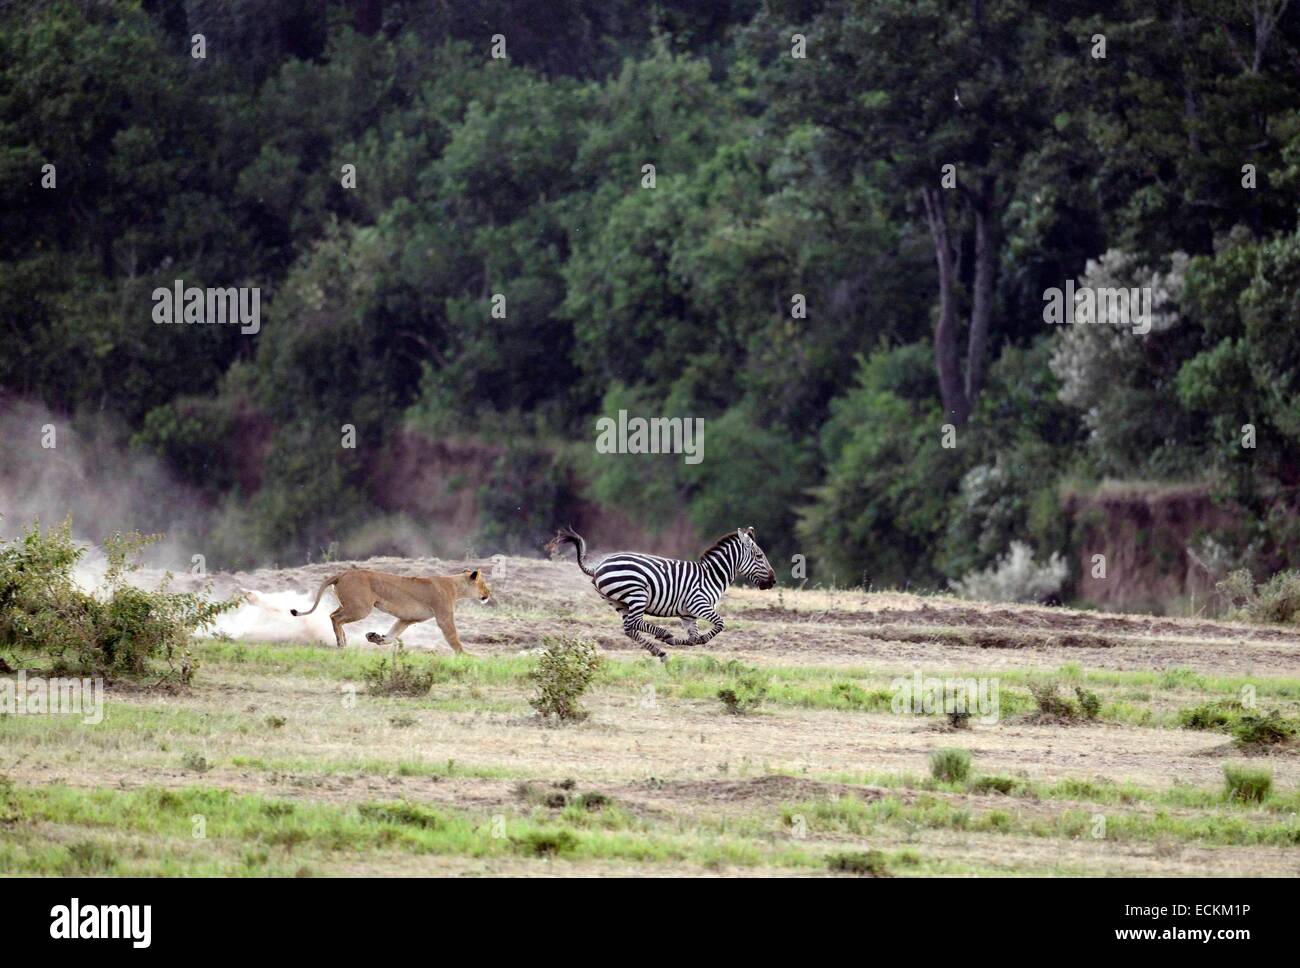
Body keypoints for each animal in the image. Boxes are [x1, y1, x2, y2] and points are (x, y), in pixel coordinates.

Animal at [290, 568, 492, 652]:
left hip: (349, 604)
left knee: (333, 614)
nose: (489, 594)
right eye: (484, 584)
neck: (455, 586)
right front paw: (465, 656)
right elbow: (453, 638)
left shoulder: (407, 619)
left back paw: (344, 640)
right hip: (361, 608)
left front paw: (376, 638)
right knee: (335, 618)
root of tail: (343, 573)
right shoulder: (444, 618)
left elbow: (393, 634)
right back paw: (341, 643)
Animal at [545, 526, 776, 661]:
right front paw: (688, 639)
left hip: (619, 603)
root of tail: (598, 567)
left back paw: (660, 650)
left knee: (630, 628)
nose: (773, 582)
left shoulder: (688, 615)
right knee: (634, 624)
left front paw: (679, 642)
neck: (712, 575)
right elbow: (719, 625)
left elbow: (693, 638)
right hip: (637, 594)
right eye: (759, 556)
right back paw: (663, 634)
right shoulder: (699, 604)